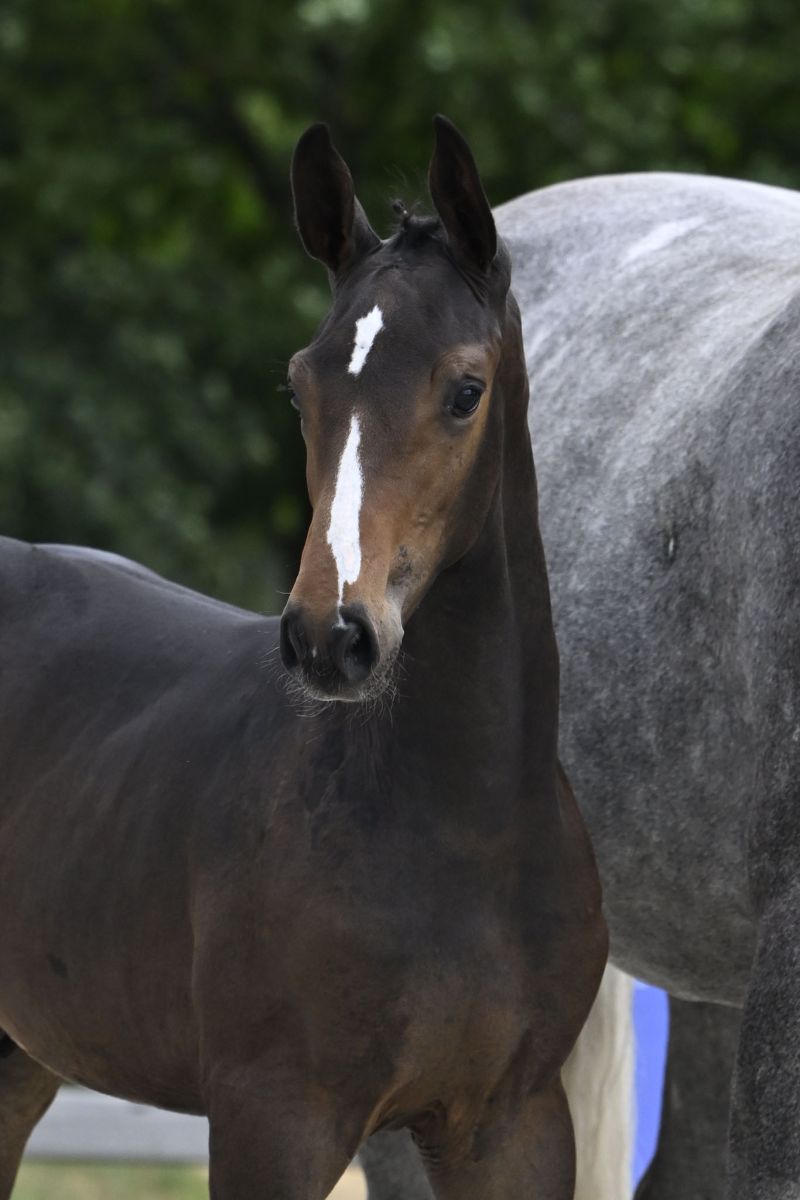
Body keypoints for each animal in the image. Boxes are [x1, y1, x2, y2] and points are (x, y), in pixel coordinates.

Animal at [0, 117, 607, 1199]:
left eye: (465, 391)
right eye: (299, 386)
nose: (332, 636)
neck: (467, 825)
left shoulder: (514, 1125)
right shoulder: (275, 1120)